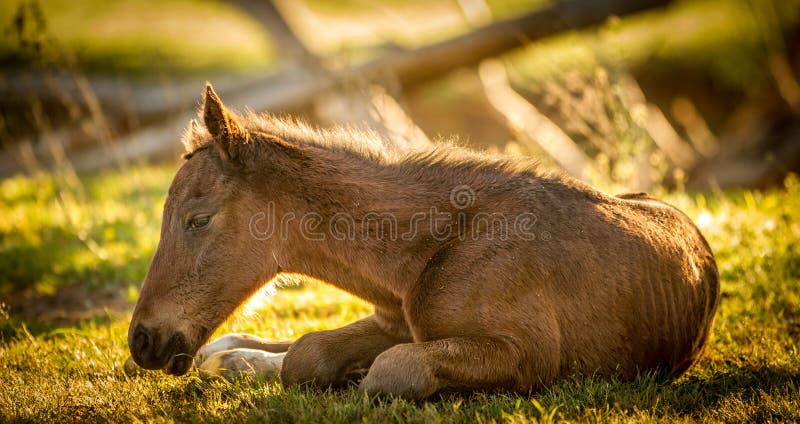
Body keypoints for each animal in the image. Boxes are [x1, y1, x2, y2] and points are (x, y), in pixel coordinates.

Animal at [128, 83, 719, 399]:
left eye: (198, 220)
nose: (142, 340)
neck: (437, 247)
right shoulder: (393, 319)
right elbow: (308, 352)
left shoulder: (529, 353)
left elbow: (390, 368)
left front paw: (361, 376)